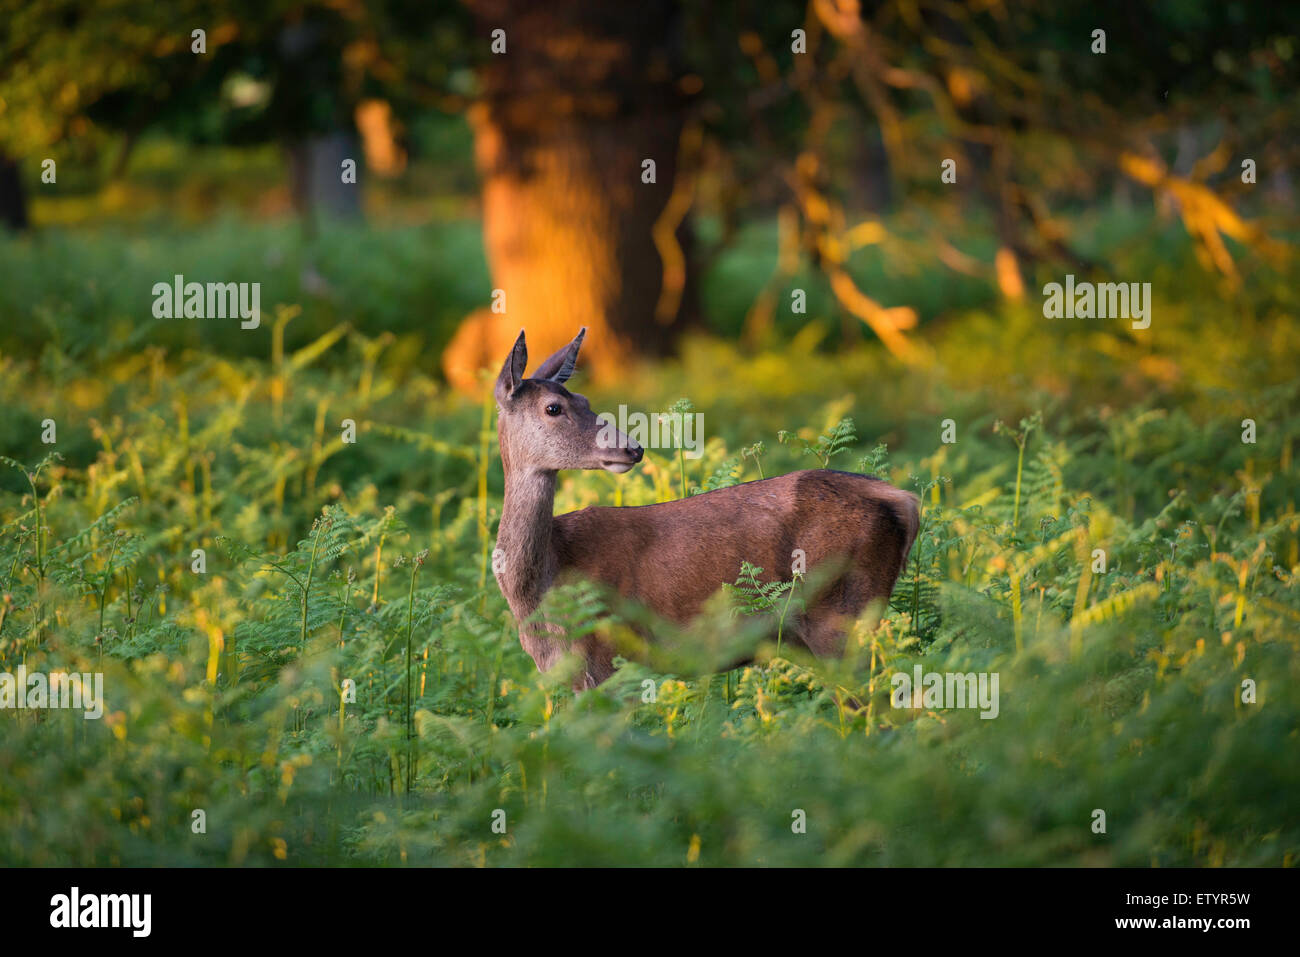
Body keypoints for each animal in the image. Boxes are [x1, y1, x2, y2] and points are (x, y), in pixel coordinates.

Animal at [491, 327, 920, 690]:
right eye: (554, 407)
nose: (633, 447)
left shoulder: (607, 659)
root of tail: (902, 500)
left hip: (839, 615)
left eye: (583, 400)